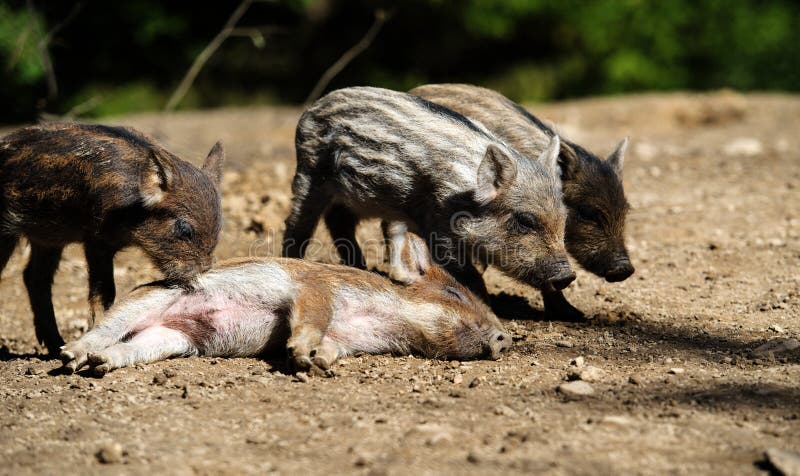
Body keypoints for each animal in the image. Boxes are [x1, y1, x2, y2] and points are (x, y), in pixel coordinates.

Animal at [0, 123, 224, 354]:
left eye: (219, 227)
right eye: (185, 229)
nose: (202, 273)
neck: (130, 210)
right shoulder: (96, 241)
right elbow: (105, 290)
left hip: (48, 238)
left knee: (34, 277)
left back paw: (57, 346)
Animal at [59, 232, 511, 376]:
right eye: (454, 294)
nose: (506, 338)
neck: (379, 319)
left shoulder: (347, 340)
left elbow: (330, 347)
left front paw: (320, 365)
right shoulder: (317, 291)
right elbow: (312, 320)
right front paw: (300, 355)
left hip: (169, 340)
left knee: (122, 350)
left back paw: (98, 365)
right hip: (148, 301)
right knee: (101, 331)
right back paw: (70, 357)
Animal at [282, 86, 575, 306]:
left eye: (564, 220)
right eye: (525, 220)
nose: (568, 276)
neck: (464, 195)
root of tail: (313, 107)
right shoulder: (440, 223)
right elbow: (467, 273)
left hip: (351, 197)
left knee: (338, 220)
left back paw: (365, 270)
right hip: (308, 172)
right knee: (297, 223)